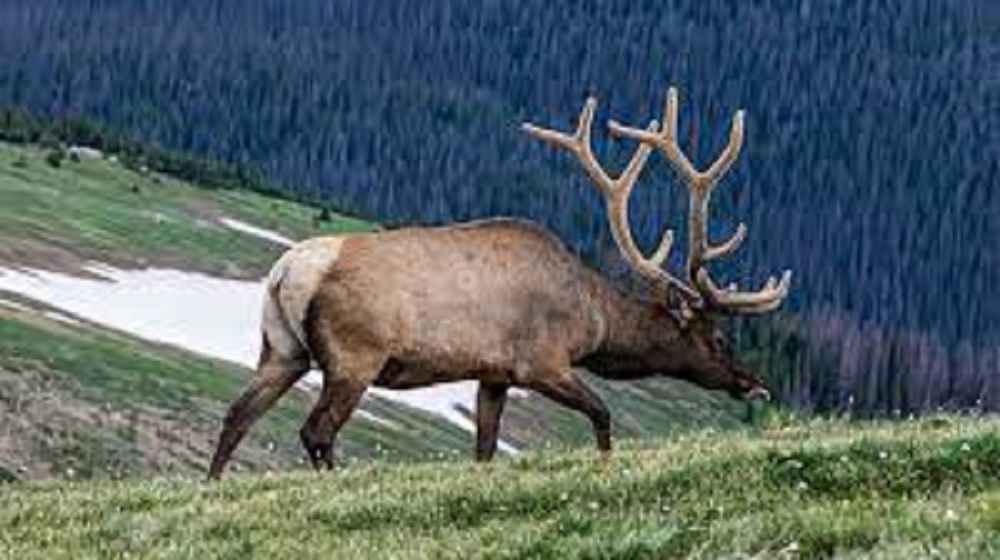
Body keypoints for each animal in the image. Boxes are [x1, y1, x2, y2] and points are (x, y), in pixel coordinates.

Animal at [207, 86, 792, 480]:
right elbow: (602, 414)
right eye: (718, 338)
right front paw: (607, 464)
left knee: (238, 414)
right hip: (354, 355)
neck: (594, 322)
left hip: (282, 347)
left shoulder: (494, 373)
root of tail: (287, 272)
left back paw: (213, 485)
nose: (756, 384)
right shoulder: (541, 362)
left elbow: (485, 447)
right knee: (316, 430)